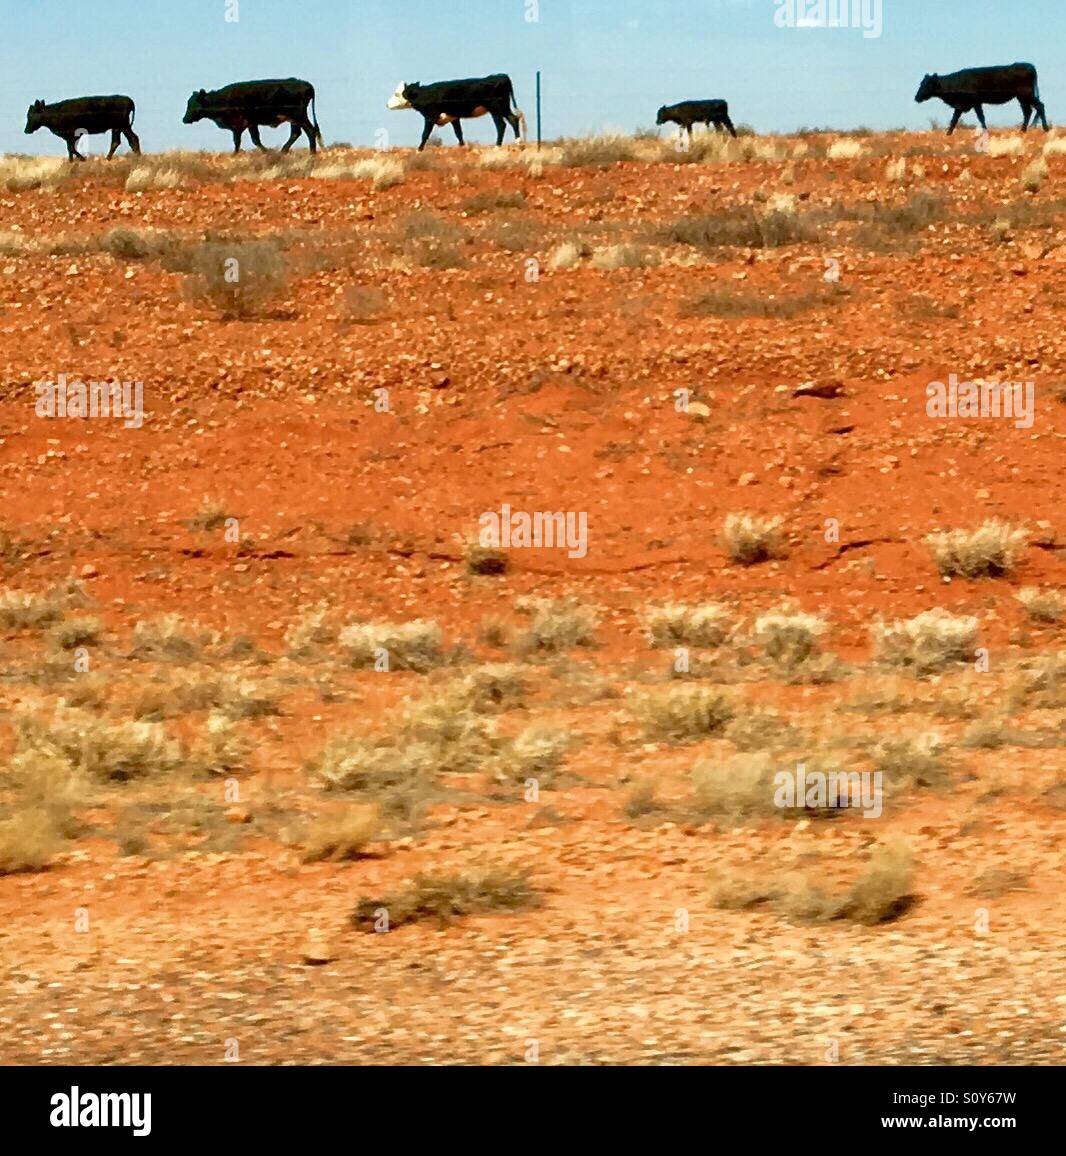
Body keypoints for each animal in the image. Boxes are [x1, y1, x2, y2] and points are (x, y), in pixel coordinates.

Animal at [183, 79, 322, 153]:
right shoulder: (245, 125)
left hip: (299, 116)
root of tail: (306, 84)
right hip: (294, 119)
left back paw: (312, 153)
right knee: (297, 133)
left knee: (310, 131)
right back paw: (284, 151)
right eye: (188, 103)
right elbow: (248, 140)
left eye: (194, 104)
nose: (184, 119)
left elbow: (248, 140)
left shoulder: (245, 123)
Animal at [386, 74, 526, 151]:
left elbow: (425, 134)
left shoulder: (430, 117)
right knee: (513, 119)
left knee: (501, 125)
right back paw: (518, 142)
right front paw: (463, 146)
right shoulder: (454, 117)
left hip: (495, 108)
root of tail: (501, 76)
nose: (387, 104)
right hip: (503, 107)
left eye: (397, 94)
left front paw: (419, 150)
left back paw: (497, 146)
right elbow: (459, 133)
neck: (427, 94)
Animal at [915, 63, 1049, 134]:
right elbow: (954, 119)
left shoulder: (976, 102)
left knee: (1039, 106)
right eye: (921, 83)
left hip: (1026, 95)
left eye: (927, 85)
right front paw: (948, 133)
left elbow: (981, 117)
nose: (916, 97)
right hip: (1022, 97)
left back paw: (1045, 128)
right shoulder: (961, 105)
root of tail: (1029, 65)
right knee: (1029, 111)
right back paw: (1023, 129)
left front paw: (985, 130)